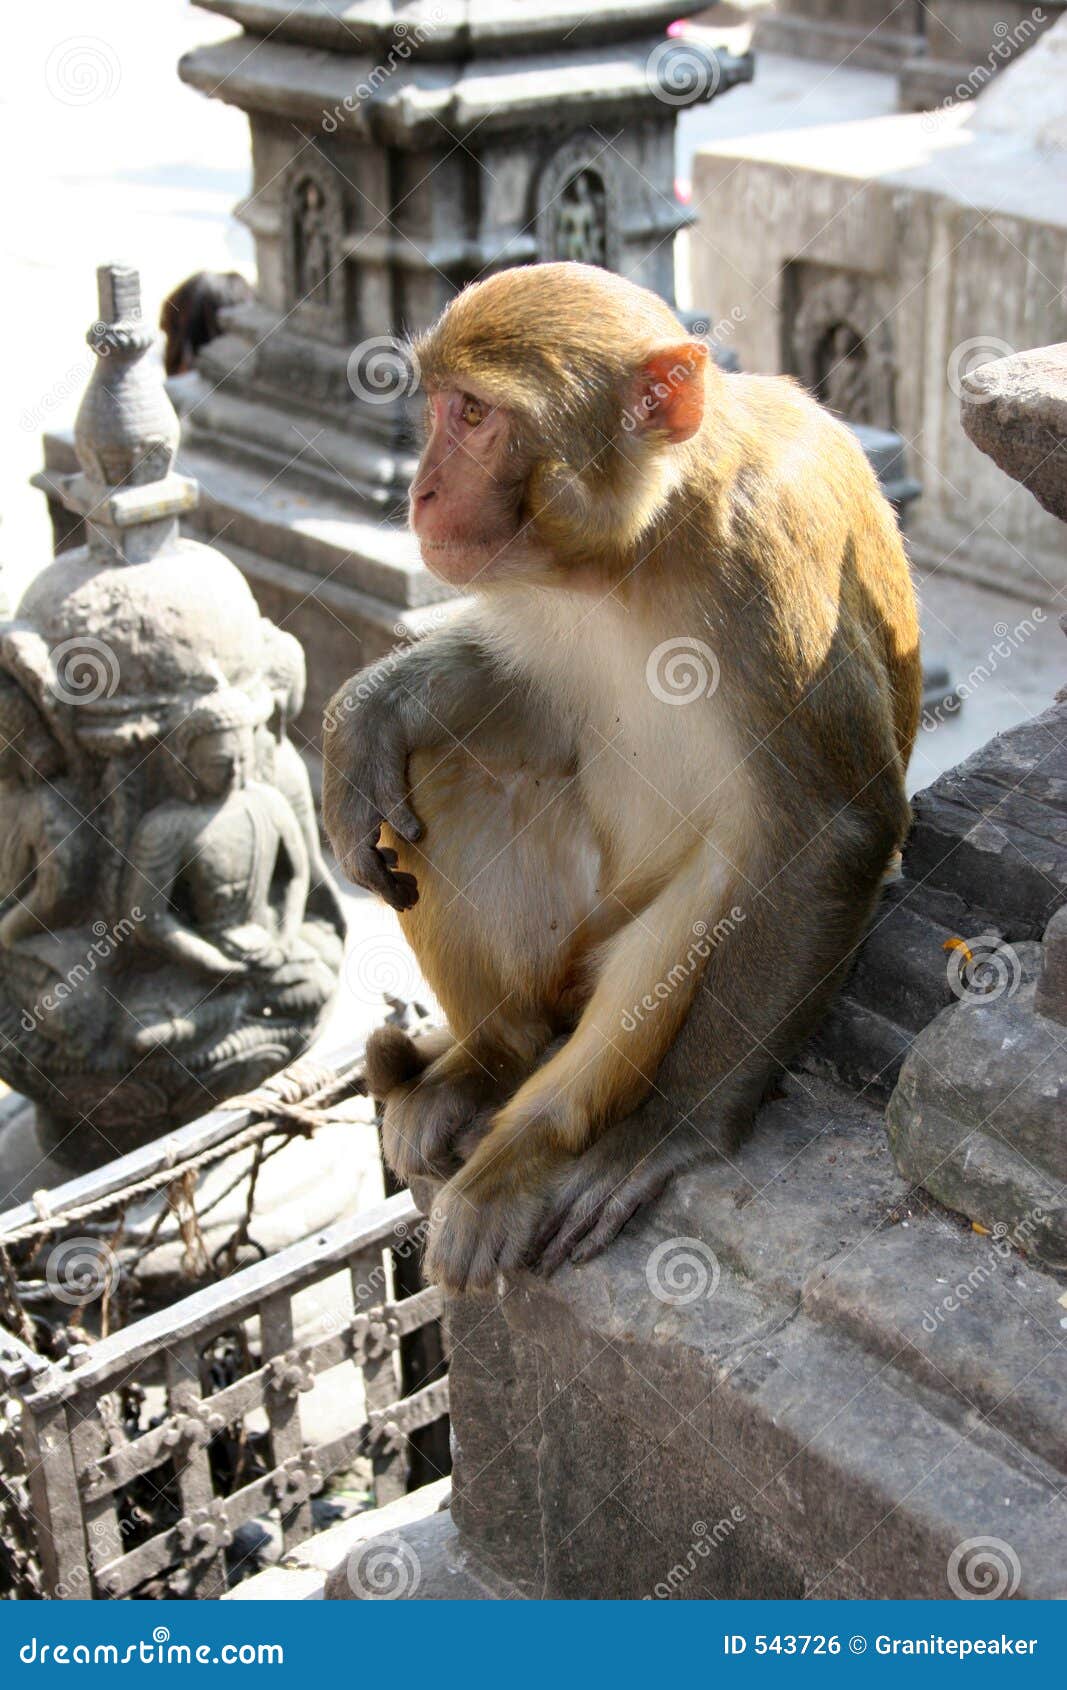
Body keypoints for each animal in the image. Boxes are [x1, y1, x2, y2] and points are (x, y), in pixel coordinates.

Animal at [322, 262, 921, 1294]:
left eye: (475, 414)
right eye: (438, 407)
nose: (425, 493)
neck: (641, 544)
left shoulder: (767, 561)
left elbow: (828, 833)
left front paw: (672, 1129)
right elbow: (522, 694)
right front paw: (369, 711)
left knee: (715, 882)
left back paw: (525, 1152)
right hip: (556, 948)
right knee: (446, 770)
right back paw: (489, 1062)